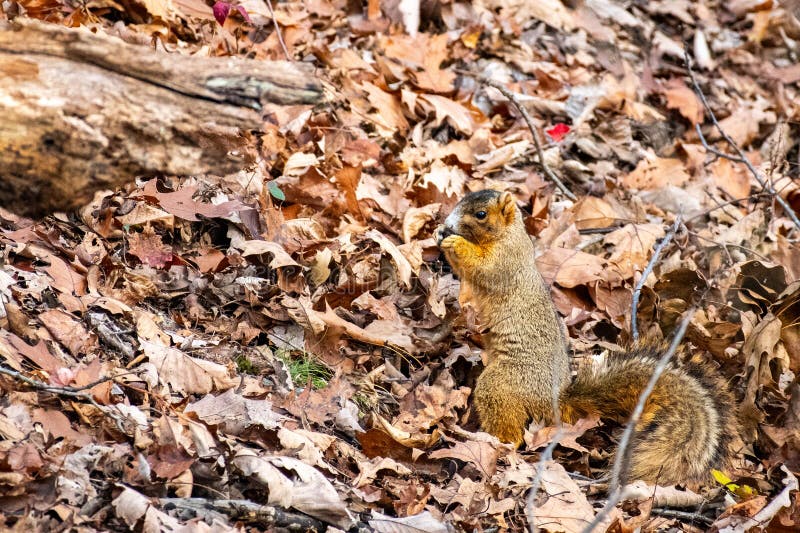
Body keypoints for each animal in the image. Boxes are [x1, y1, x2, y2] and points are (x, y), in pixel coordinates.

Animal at [436, 189, 737, 485]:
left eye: (480, 214)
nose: (447, 224)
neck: (507, 235)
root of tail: (555, 400)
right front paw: (439, 233)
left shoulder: (506, 263)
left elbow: (483, 268)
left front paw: (456, 243)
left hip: (506, 383)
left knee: (510, 428)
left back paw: (492, 440)